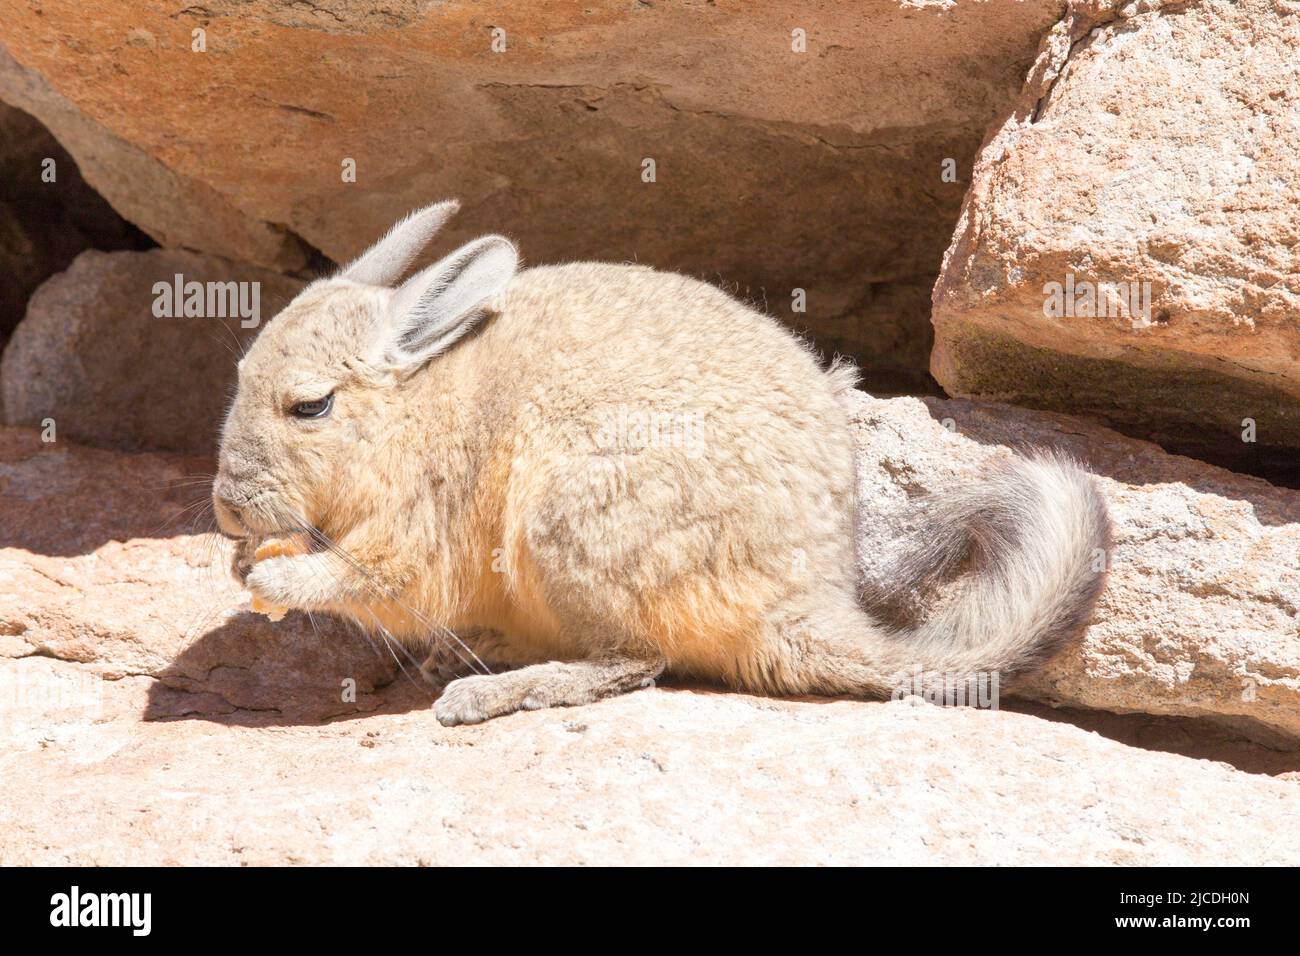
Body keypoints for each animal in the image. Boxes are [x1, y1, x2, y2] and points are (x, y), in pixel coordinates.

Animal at [213, 200, 1110, 726]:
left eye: (310, 406)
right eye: (237, 374)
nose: (224, 509)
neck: (411, 417)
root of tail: (807, 605)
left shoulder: (414, 543)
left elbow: (359, 576)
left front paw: (268, 576)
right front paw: (239, 563)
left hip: (564, 521)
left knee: (633, 661)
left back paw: (482, 690)